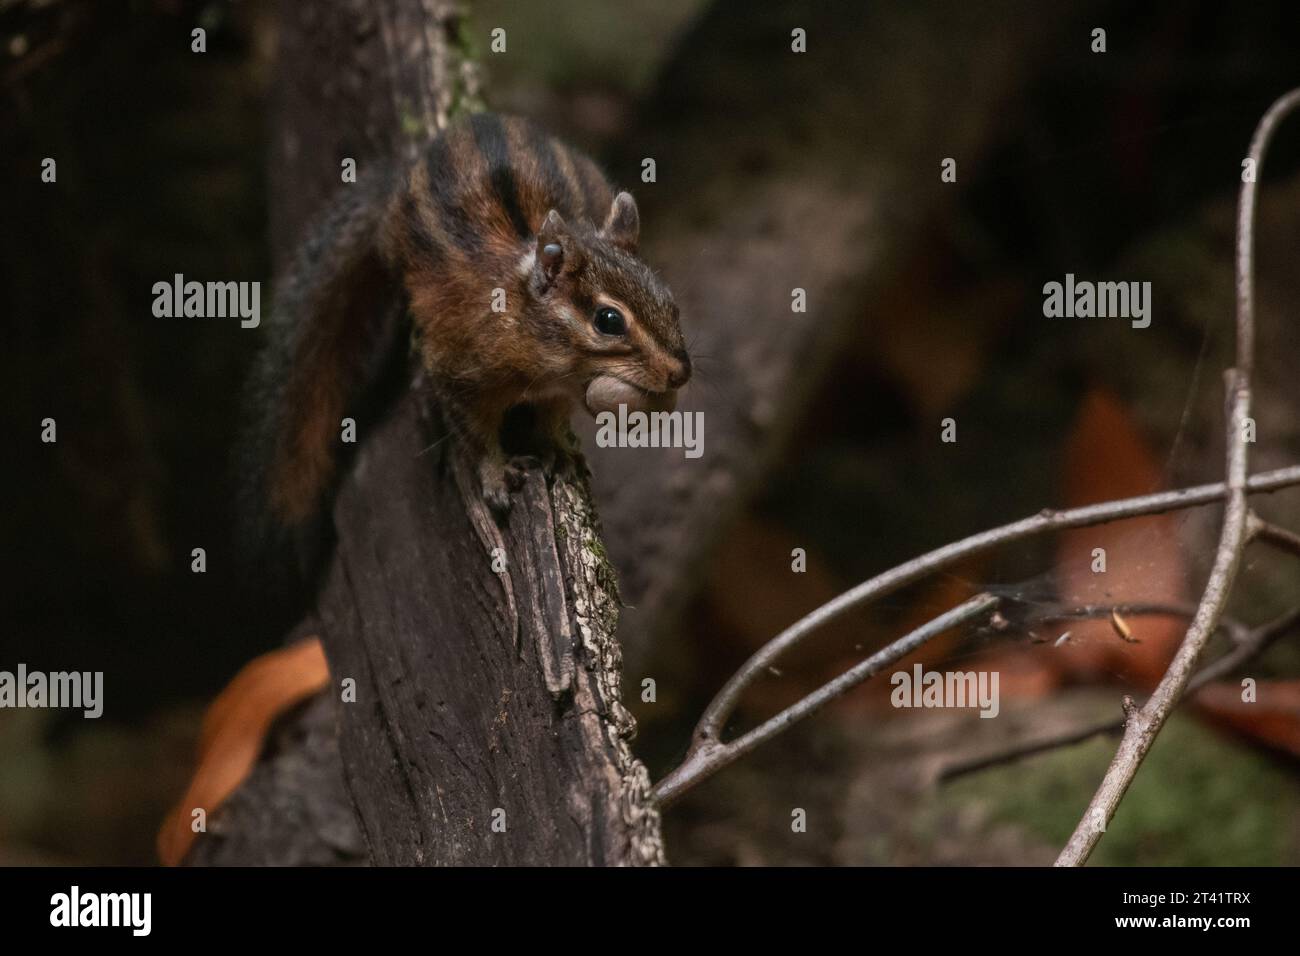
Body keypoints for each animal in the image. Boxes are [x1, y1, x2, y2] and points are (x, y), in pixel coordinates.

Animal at [240, 113, 690, 577]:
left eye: (670, 304)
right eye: (608, 321)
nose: (681, 372)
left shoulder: (557, 391)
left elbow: (551, 418)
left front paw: (558, 449)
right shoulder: (456, 372)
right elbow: (475, 435)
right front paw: (495, 475)